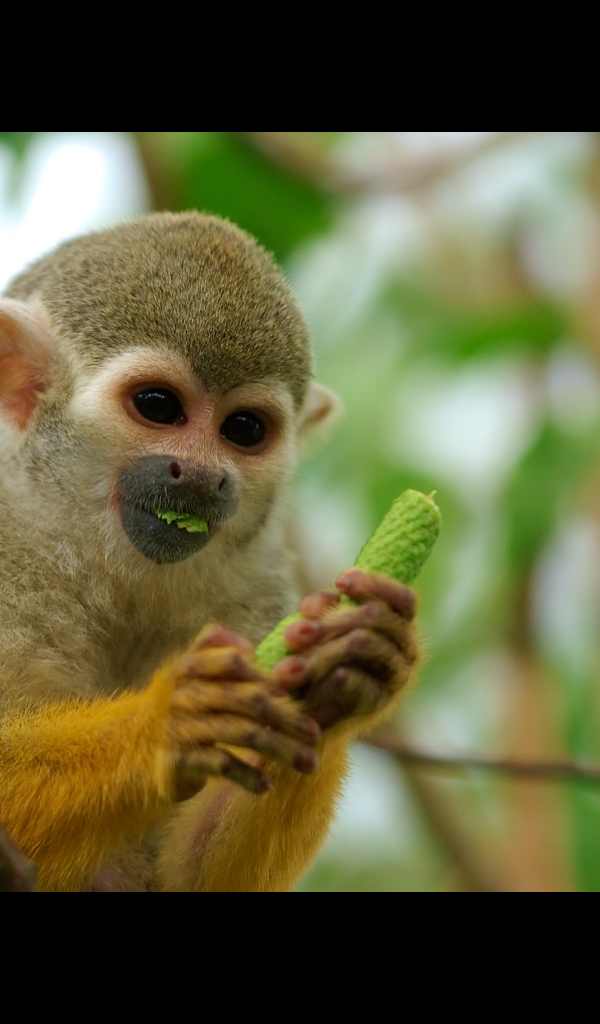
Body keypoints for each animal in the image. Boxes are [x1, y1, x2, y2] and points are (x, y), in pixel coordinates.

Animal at [0, 212, 420, 892]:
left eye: (243, 429)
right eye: (158, 407)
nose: (200, 477)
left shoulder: (254, 585)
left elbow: (190, 875)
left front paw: (343, 671)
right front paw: (167, 723)